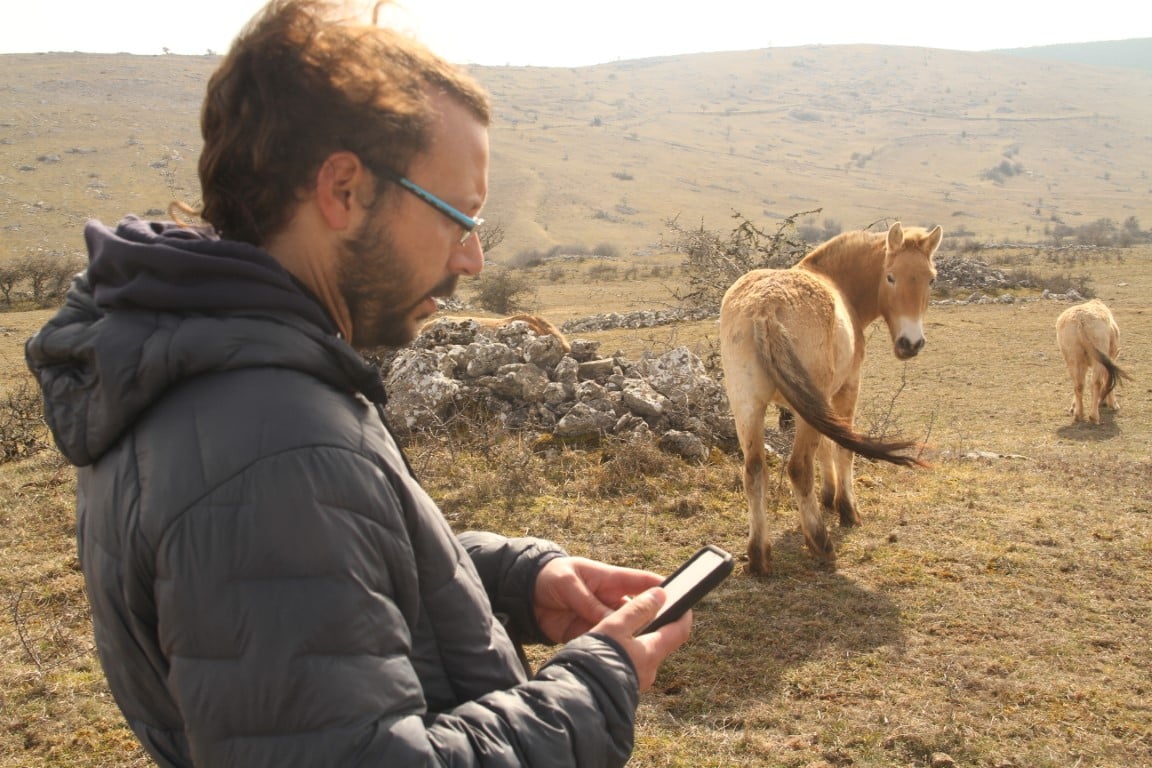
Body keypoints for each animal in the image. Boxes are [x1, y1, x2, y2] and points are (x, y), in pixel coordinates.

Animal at [719, 221, 942, 575]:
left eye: (930, 278)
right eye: (890, 276)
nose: (911, 343)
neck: (835, 281)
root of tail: (765, 307)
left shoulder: (811, 406)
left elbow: (825, 444)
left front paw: (828, 497)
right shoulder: (845, 390)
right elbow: (843, 448)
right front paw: (846, 508)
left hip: (746, 406)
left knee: (754, 472)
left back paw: (758, 557)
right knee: (798, 468)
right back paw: (821, 544)